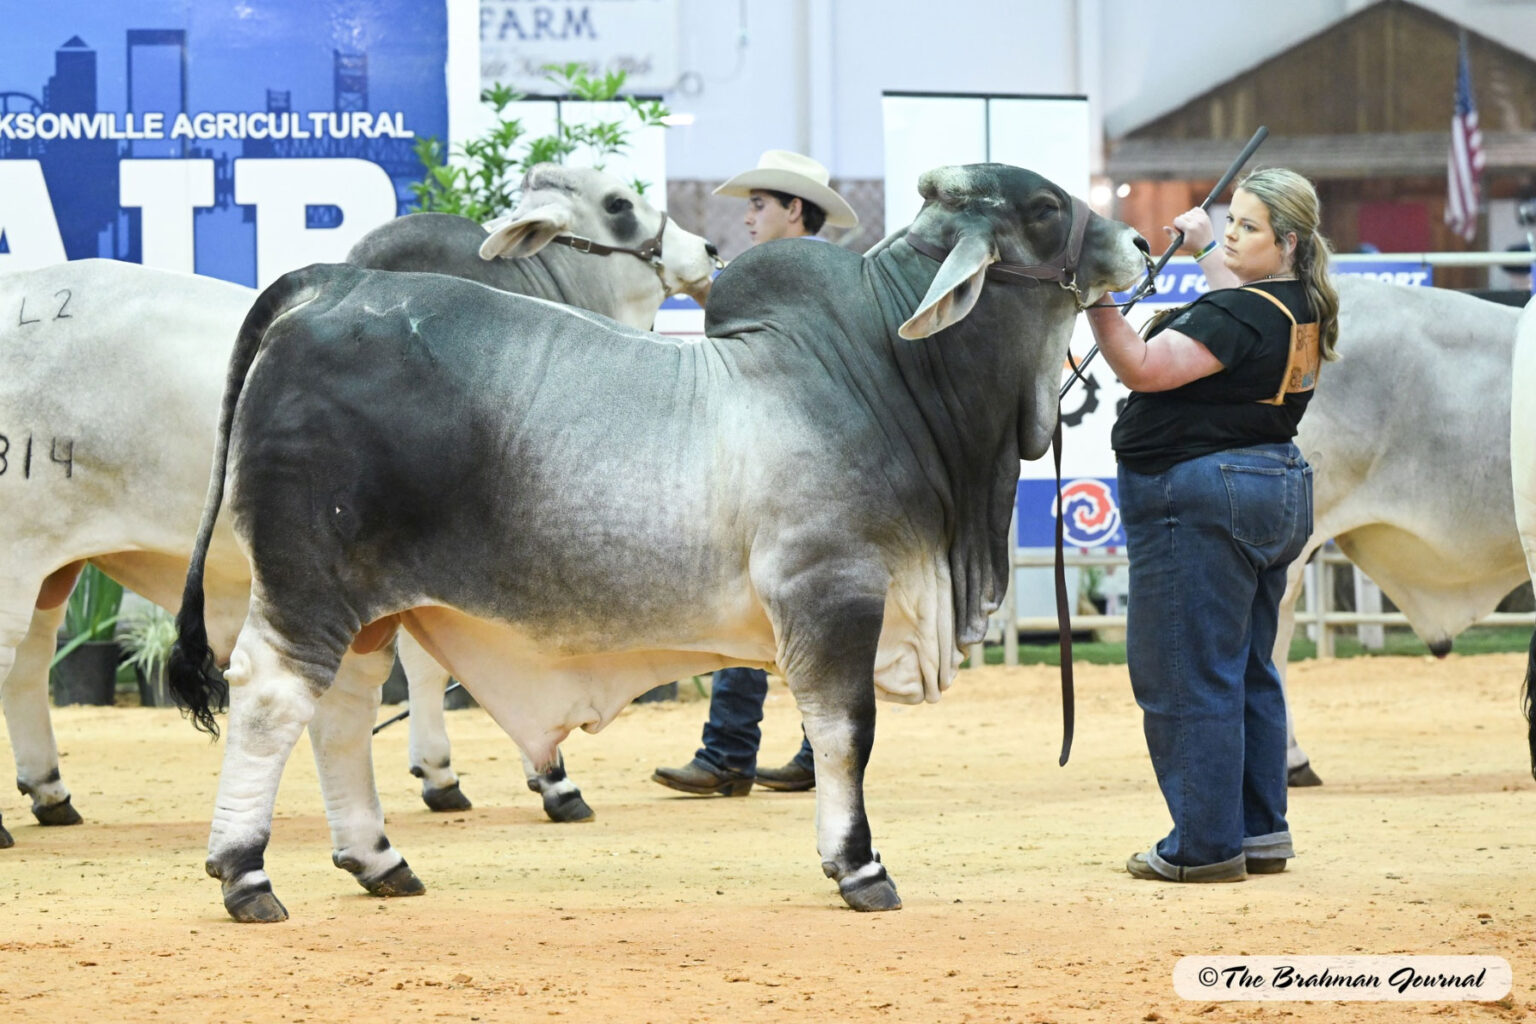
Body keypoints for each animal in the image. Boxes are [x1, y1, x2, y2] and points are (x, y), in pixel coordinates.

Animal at [0, 166, 719, 847]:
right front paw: (551, 783)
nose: (708, 248)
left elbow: (426, 667)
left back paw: (50, 792)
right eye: (619, 204)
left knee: (30, 663)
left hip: (52, 567)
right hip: (20, 559)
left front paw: (440, 776)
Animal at [167, 162, 1149, 922]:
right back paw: (245, 874)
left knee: (341, 712)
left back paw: (378, 860)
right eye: (1046, 207)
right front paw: (860, 867)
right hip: (309, 581)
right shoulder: (832, 589)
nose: (1142, 245)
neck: (885, 373)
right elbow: (846, 733)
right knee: (273, 698)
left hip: (366, 602)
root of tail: (330, 284)